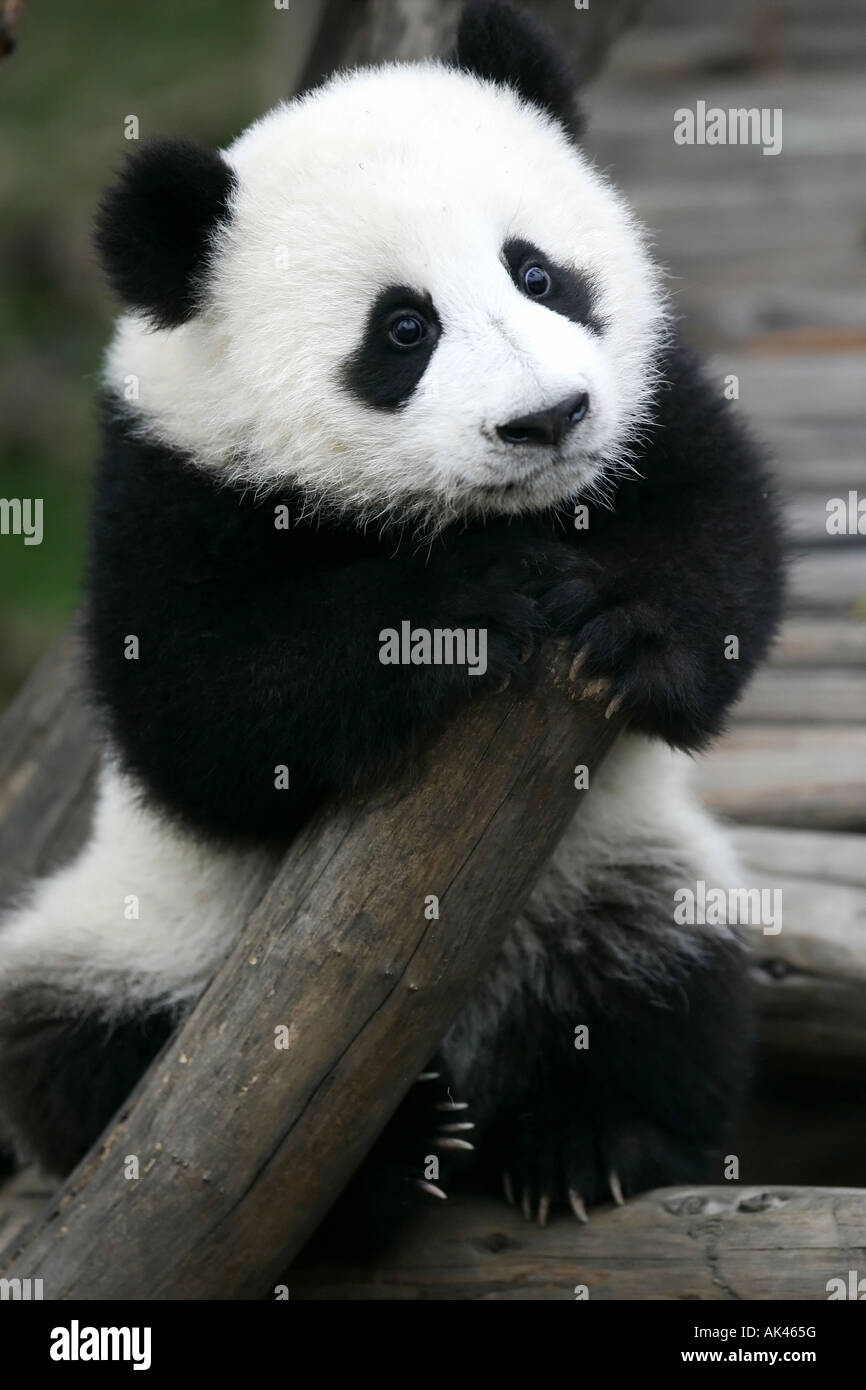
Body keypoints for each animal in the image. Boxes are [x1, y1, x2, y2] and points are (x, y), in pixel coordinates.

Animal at [0, 0, 783, 1245]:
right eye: (402, 329)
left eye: (537, 273)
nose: (547, 419)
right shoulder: (167, 484)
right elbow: (197, 716)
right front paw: (455, 612)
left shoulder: (647, 395)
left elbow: (721, 542)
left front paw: (617, 615)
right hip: (136, 940)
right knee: (84, 1052)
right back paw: (388, 1153)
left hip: (623, 875)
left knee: (666, 989)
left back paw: (585, 1138)